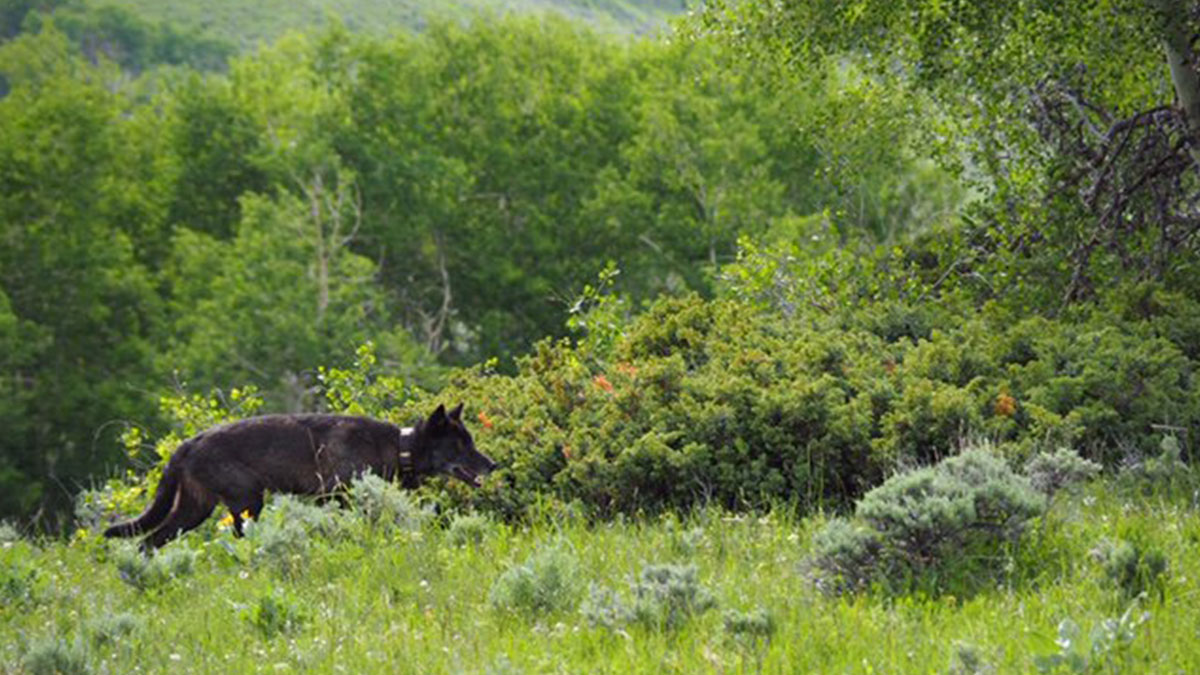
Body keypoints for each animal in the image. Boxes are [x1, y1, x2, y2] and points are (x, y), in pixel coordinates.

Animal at [103, 403, 495, 549]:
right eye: (461, 445)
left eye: (471, 442)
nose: (493, 465)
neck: (399, 446)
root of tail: (187, 444)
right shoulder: (333, 498)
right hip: (247, 502)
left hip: (193, 510)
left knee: (147, 542)